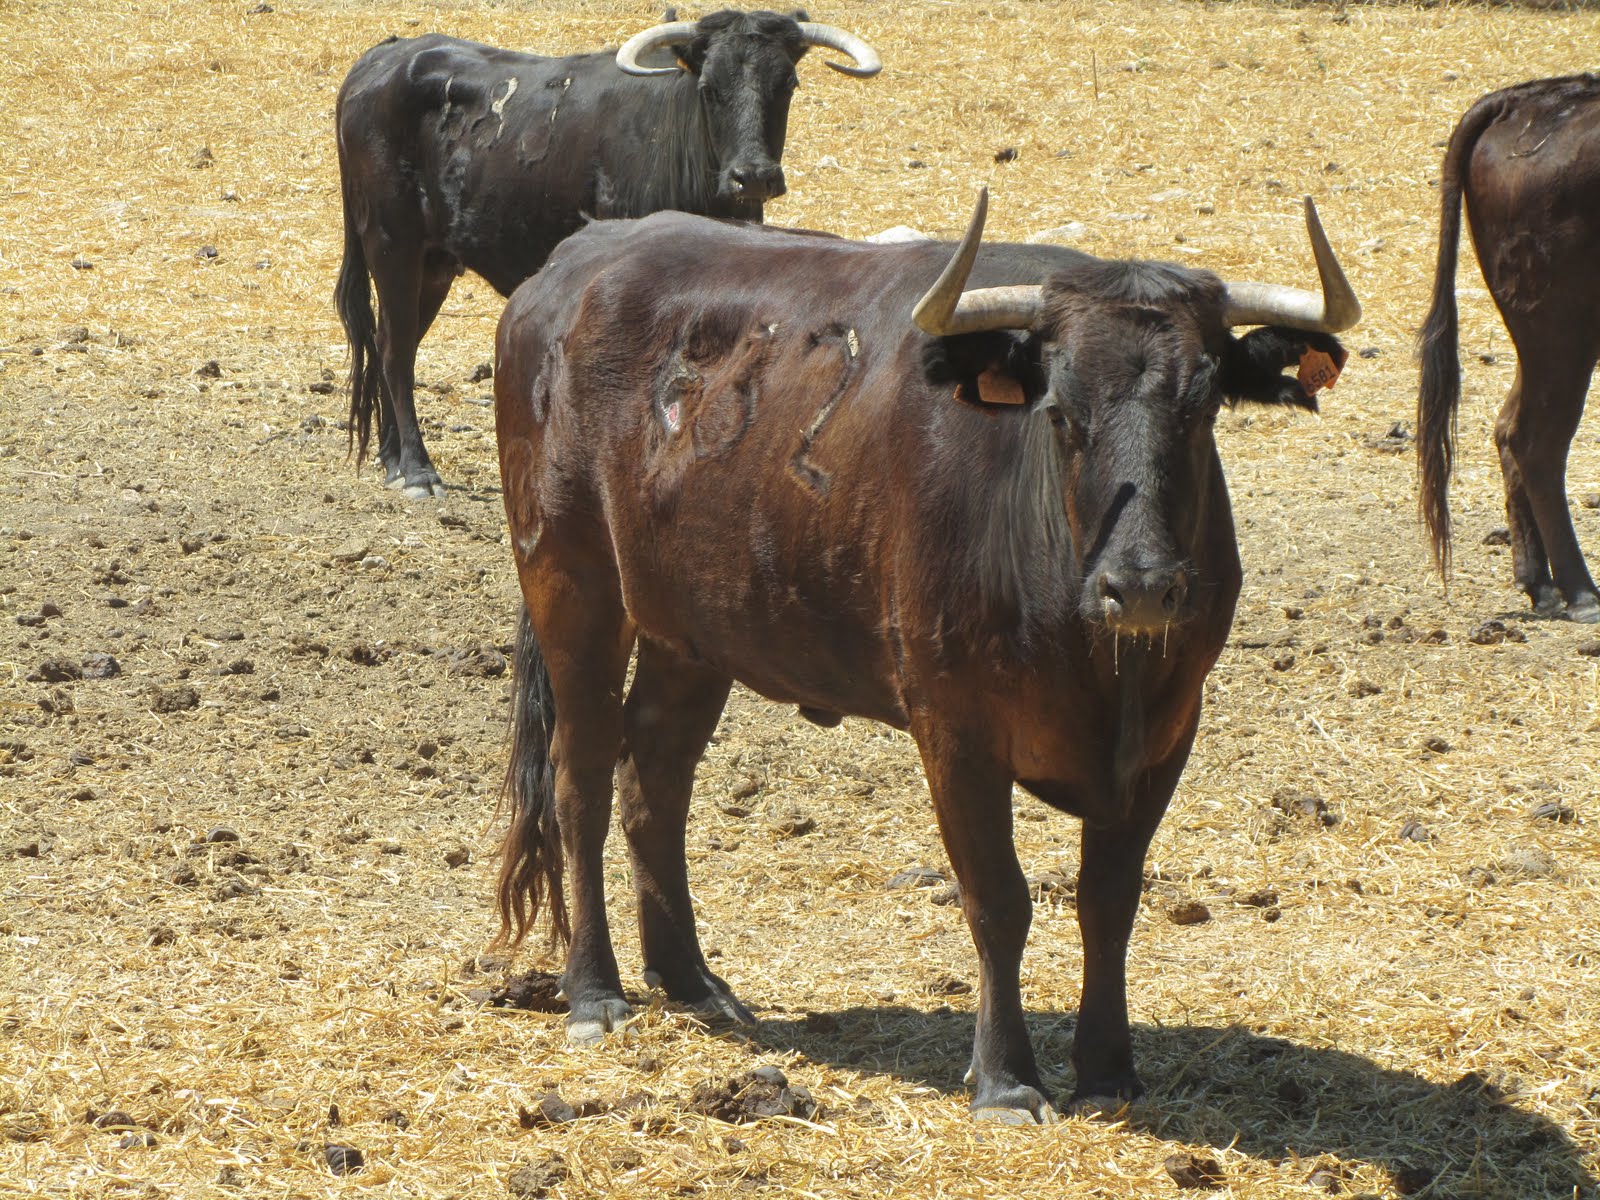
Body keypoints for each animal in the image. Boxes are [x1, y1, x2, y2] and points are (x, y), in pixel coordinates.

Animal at [334, 9, 880, 498]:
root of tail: (383, 58)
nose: (753, 175)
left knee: (392, 344)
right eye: (709, 88)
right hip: (392, 245)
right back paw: (417, 471)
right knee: (394, 350)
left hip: (433, 264)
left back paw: (393, 460)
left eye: (786, 83)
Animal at [490, 188, 1359, 1123]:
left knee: (654, 780)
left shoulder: (1168, 730)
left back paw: (692, 981)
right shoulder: (955, 729)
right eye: (1061, 412)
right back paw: (594, 992)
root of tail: (571, 264)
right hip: (570, 582)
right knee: (579, 779)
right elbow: (998, 901)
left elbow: (1109, 901)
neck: (1096, 658)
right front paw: (1007, 1079)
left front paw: (1108, 1067)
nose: (1142, 587)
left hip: (690, 629)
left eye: (1201, 408)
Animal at [1418, 73, 1600, 622]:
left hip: (1545, 339)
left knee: (1509, 429)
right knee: (1535, 443)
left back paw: (1540, 584)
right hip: (1560, 332)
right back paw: (1580, 592)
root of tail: (1523, 99)